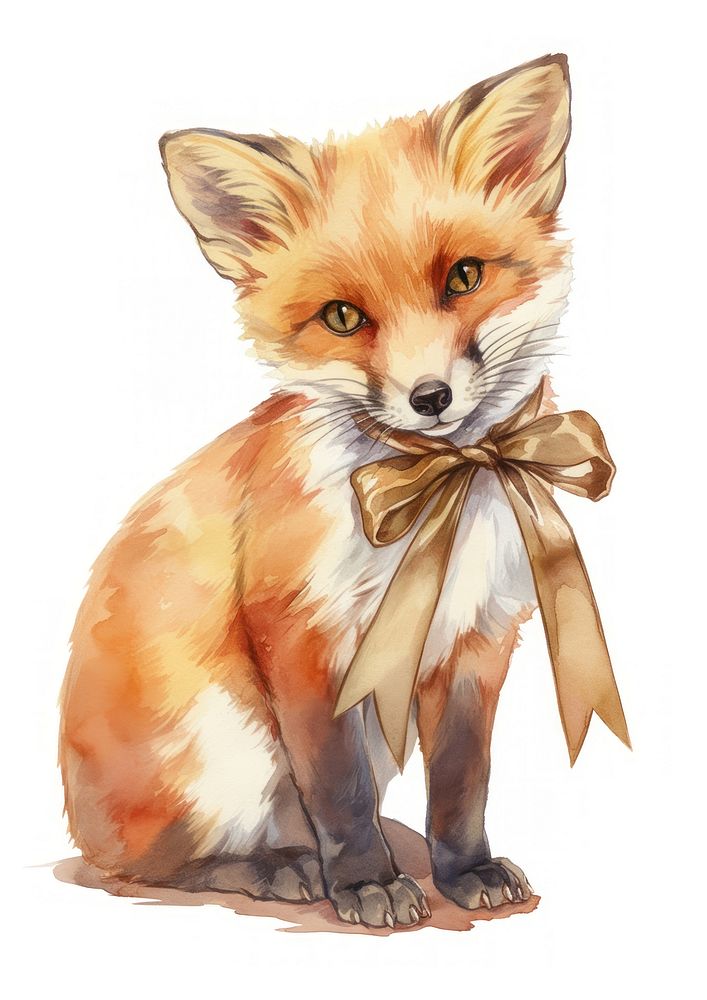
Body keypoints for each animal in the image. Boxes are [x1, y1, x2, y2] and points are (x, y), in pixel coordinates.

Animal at [60, 54, 574, 929]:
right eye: (341, 317)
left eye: (463, 277)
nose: (430, 397)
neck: (428, 500)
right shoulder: (303, 636)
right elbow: (339, 791)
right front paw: (366, 882)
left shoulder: (475, 641)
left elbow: (461, 784)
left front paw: (464, 869)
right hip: (224, 747)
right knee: (154, 865)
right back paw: (278, 870)